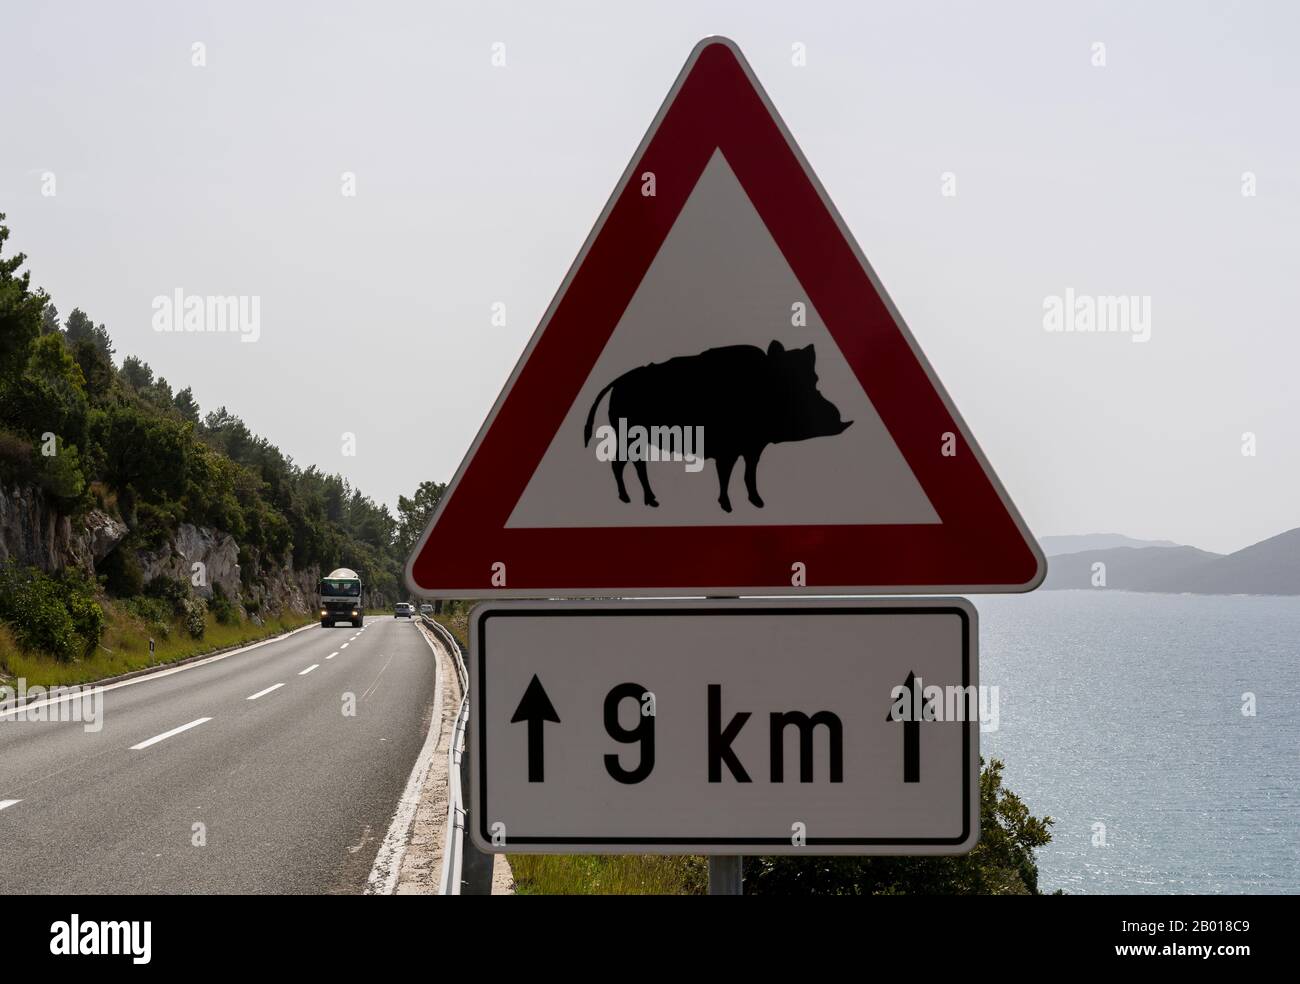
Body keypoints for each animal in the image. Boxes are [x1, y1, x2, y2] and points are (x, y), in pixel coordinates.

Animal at [582, 339, 852, 512]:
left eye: (814, 379)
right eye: (789, 383)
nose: (840, 420)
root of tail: (619, 382)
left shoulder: (753, 448)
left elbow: (748, 474)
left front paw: (758, 502)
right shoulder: (727, 451)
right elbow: (727, 475)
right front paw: (728, 507)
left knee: (636, 463)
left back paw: (651, 500)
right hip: (627, 434)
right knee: (619, 462)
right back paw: (628, 499)